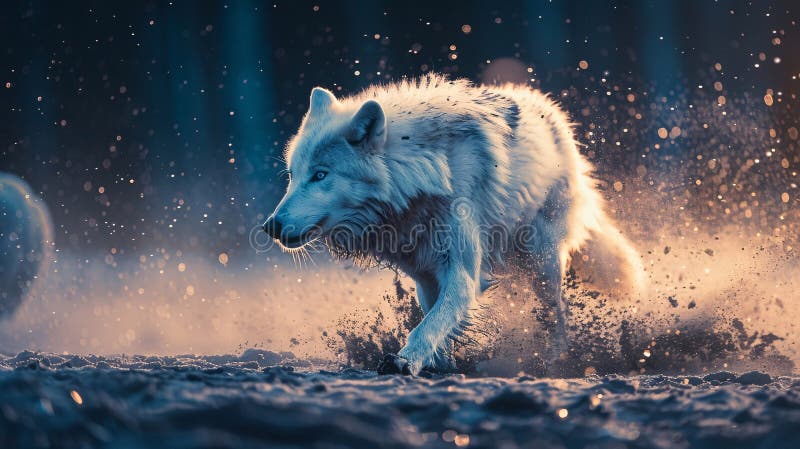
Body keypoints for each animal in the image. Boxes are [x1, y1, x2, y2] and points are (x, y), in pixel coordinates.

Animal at [263, 74, 645, 375]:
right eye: (293, 175)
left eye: (320, 175)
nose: (270, 226)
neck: (422, 173)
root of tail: (553, 114)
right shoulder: (423, 274)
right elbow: (434, 318)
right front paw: (439, 364)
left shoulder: (462, 273)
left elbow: (429, 324)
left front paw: (405, 361)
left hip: (542, 259)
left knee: (557, 315)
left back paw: (555, 361)